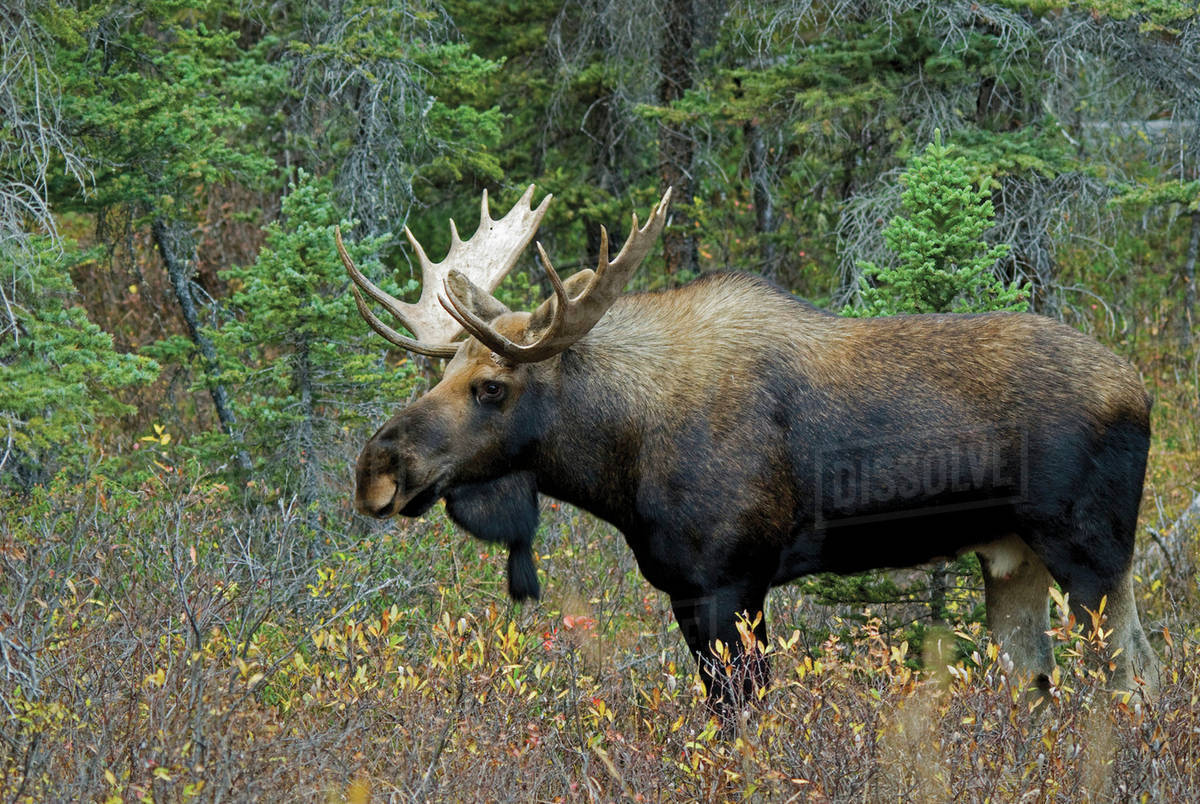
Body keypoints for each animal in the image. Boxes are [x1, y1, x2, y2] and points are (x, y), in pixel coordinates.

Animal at [337, 185, 1159, 712]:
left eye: (492, 387)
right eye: (443, 369)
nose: (376, 469)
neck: (617, 462)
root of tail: (1143, 390)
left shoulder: (730, 581)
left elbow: (744, 720)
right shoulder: (685, 589)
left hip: (1091, 551)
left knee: (1134, 678)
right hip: (1011, 555)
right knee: (1039, 682)